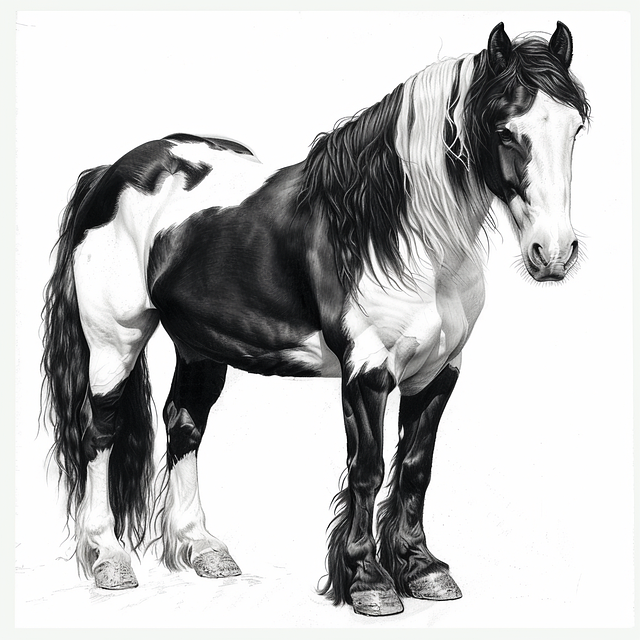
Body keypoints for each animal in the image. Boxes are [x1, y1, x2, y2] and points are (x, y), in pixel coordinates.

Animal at [41, 21, 589, 617]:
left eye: (575, 127)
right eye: (504, 129)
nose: (553, 253)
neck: (395, 233)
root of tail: (112, 173)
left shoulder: (439, 372)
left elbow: (416, 468)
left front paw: (422, 570)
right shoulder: (368, 372)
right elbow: (368, 469)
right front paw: (369, 582)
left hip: (199, 346)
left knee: (184, 425)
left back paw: (203, 549)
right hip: (115, 342)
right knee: (100, 432)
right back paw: (109, 558)